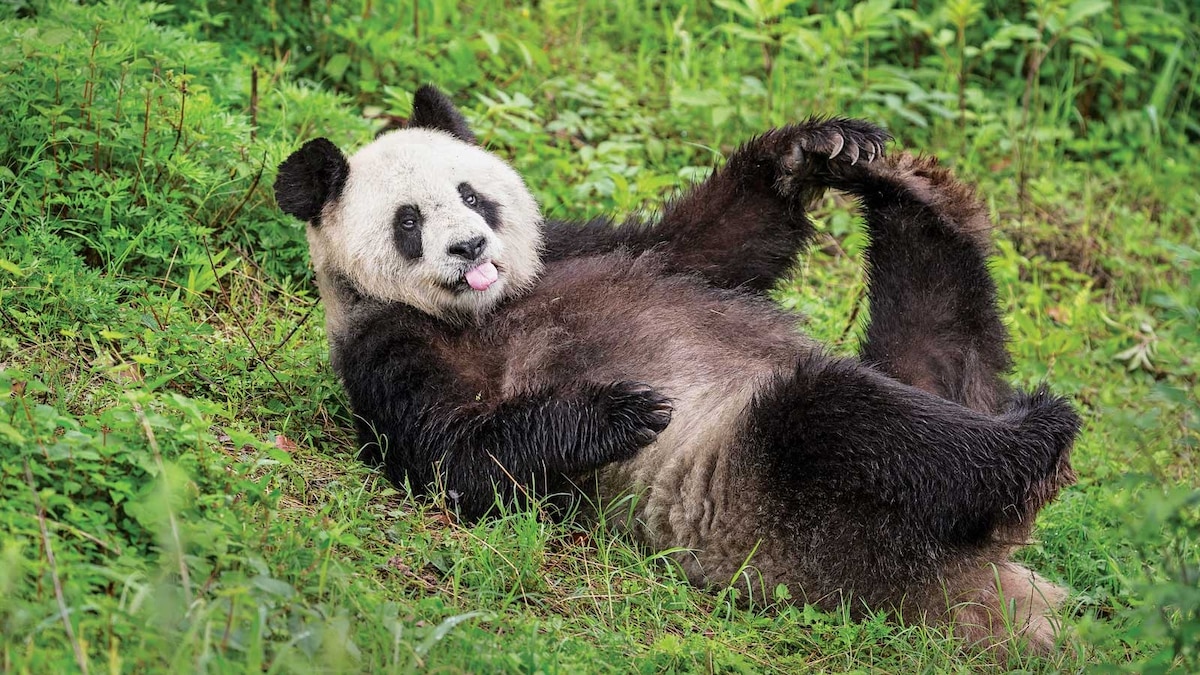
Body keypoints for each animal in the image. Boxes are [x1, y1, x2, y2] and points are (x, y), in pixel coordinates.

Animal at [274, 85, 1080, 654]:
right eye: (409, 221)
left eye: (475, 196)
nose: (470, 247)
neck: (491, 306)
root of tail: (986, 587)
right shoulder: (389, 346)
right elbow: (457, 461)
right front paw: (617, 413)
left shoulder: (581, 247)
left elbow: (711, 243)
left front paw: (816, 147)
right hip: (809, 527)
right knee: (833, 418)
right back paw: (1036, 440)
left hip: (924, 404)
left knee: (938, 321)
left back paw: (915, 194)